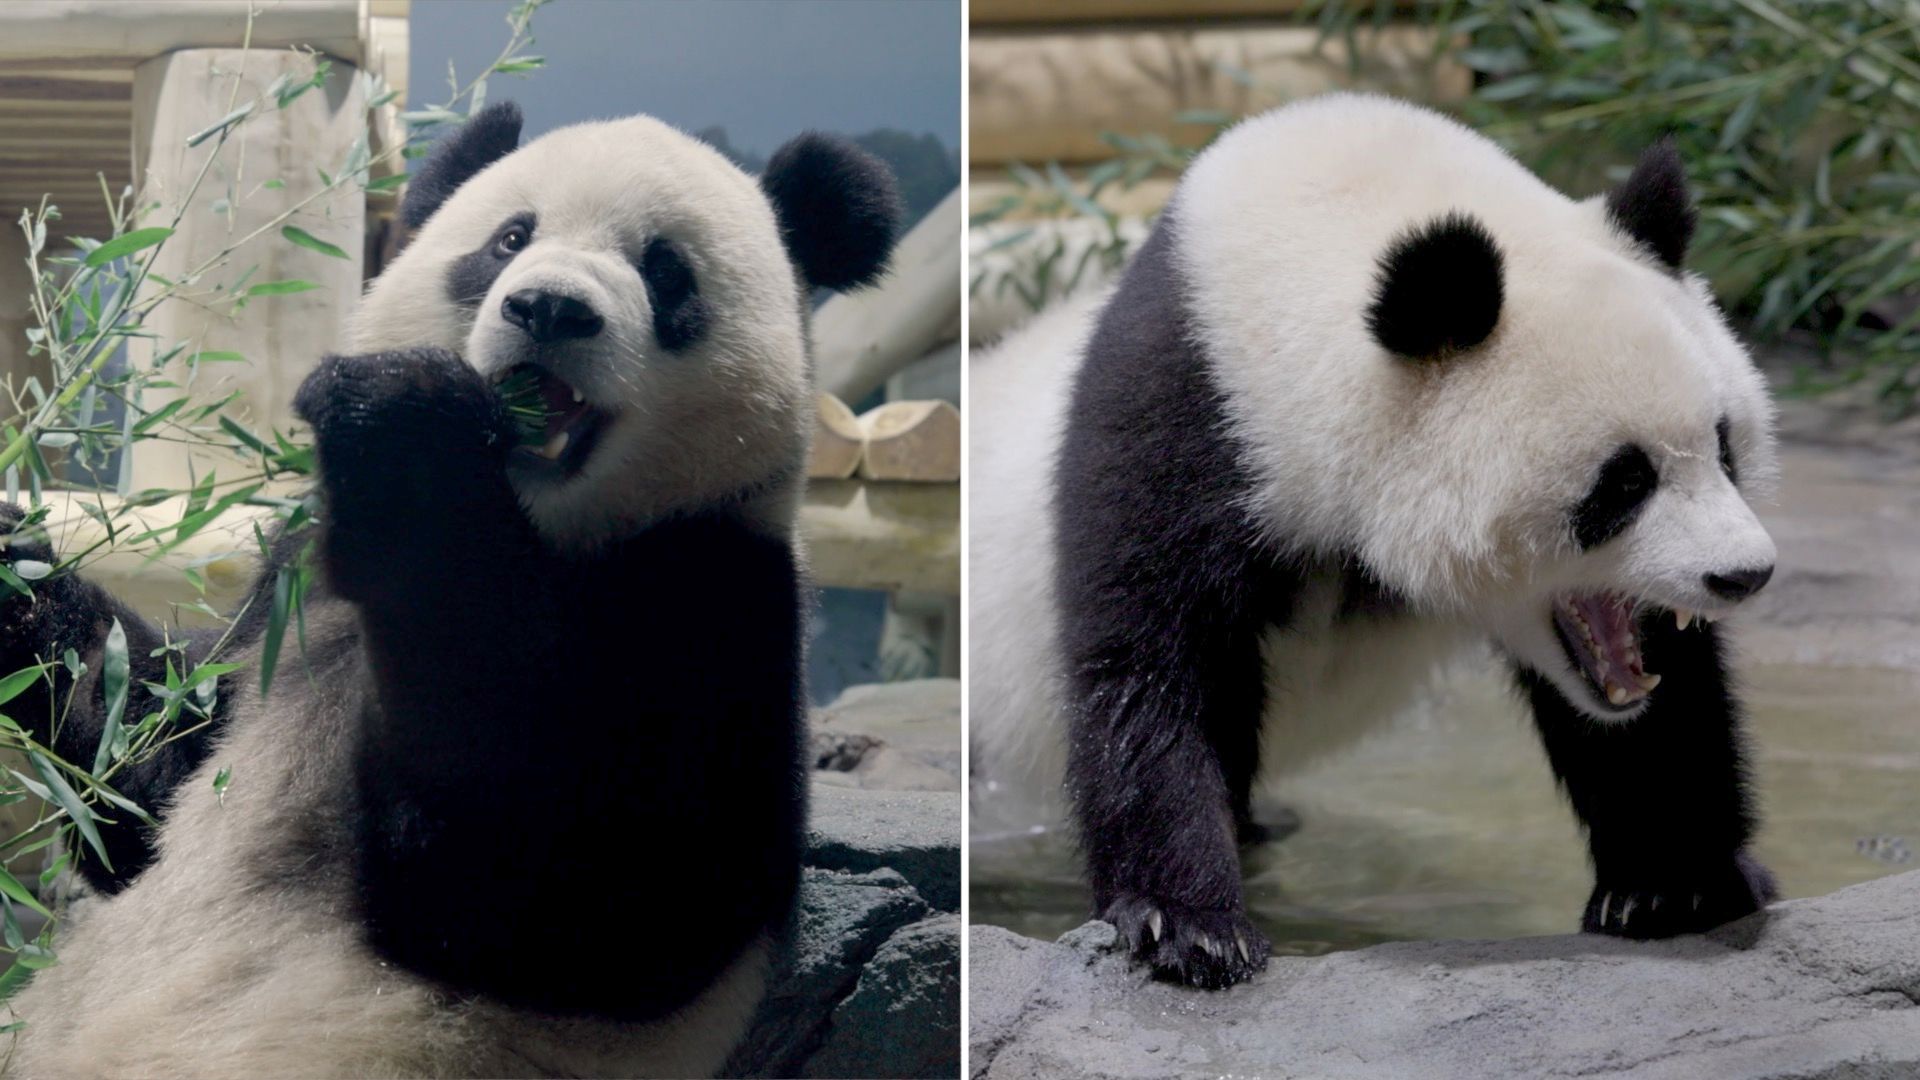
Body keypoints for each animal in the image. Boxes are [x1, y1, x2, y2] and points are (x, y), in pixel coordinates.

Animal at [0, 101, 899, 1075]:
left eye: (666, 271)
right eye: (510, 238)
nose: (550, 307)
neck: (539, 527)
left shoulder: (711, 594)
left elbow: (581, 901)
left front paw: (409, 438)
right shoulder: (291, 593)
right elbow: (144, 774)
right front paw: (20, 576)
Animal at [971, 93, 1780, 990]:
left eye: (1725, 446)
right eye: (1624, 481)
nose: (1743, 575)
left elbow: (1661, 704)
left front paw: (1674, 885)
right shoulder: (1187, 412)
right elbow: (1150, 660)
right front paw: (1187, 929)